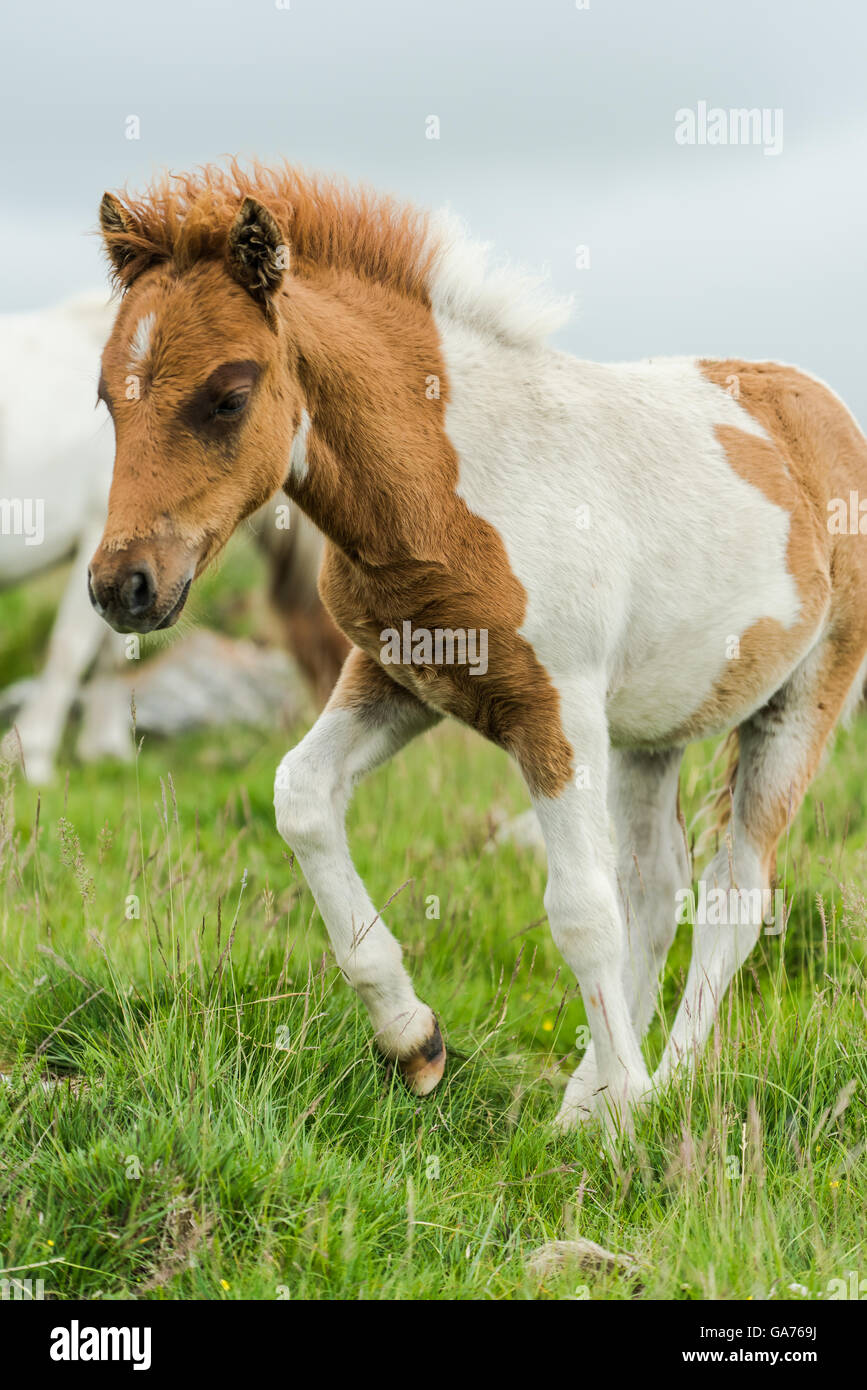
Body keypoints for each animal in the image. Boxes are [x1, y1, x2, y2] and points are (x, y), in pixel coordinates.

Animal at [0, 293, 346, 783]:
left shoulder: (125, 567)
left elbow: (111, 649)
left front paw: (104, 748)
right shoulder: (100, 537)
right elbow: (71, 648)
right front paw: (31, 756)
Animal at [86, 160, 867, 1129]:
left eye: (228, 396)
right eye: (105, 398)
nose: (122, 587)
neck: (452, 489)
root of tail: (823, 407)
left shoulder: (553, 710)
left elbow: (580, 910)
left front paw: (621, 1126)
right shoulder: (396, 679)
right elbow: (299, 796)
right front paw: (414, 1042)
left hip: (803, 701)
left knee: (734, 892)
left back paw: (661, 1090)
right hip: (651, 730)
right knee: (656, 887)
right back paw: (591, 1095)